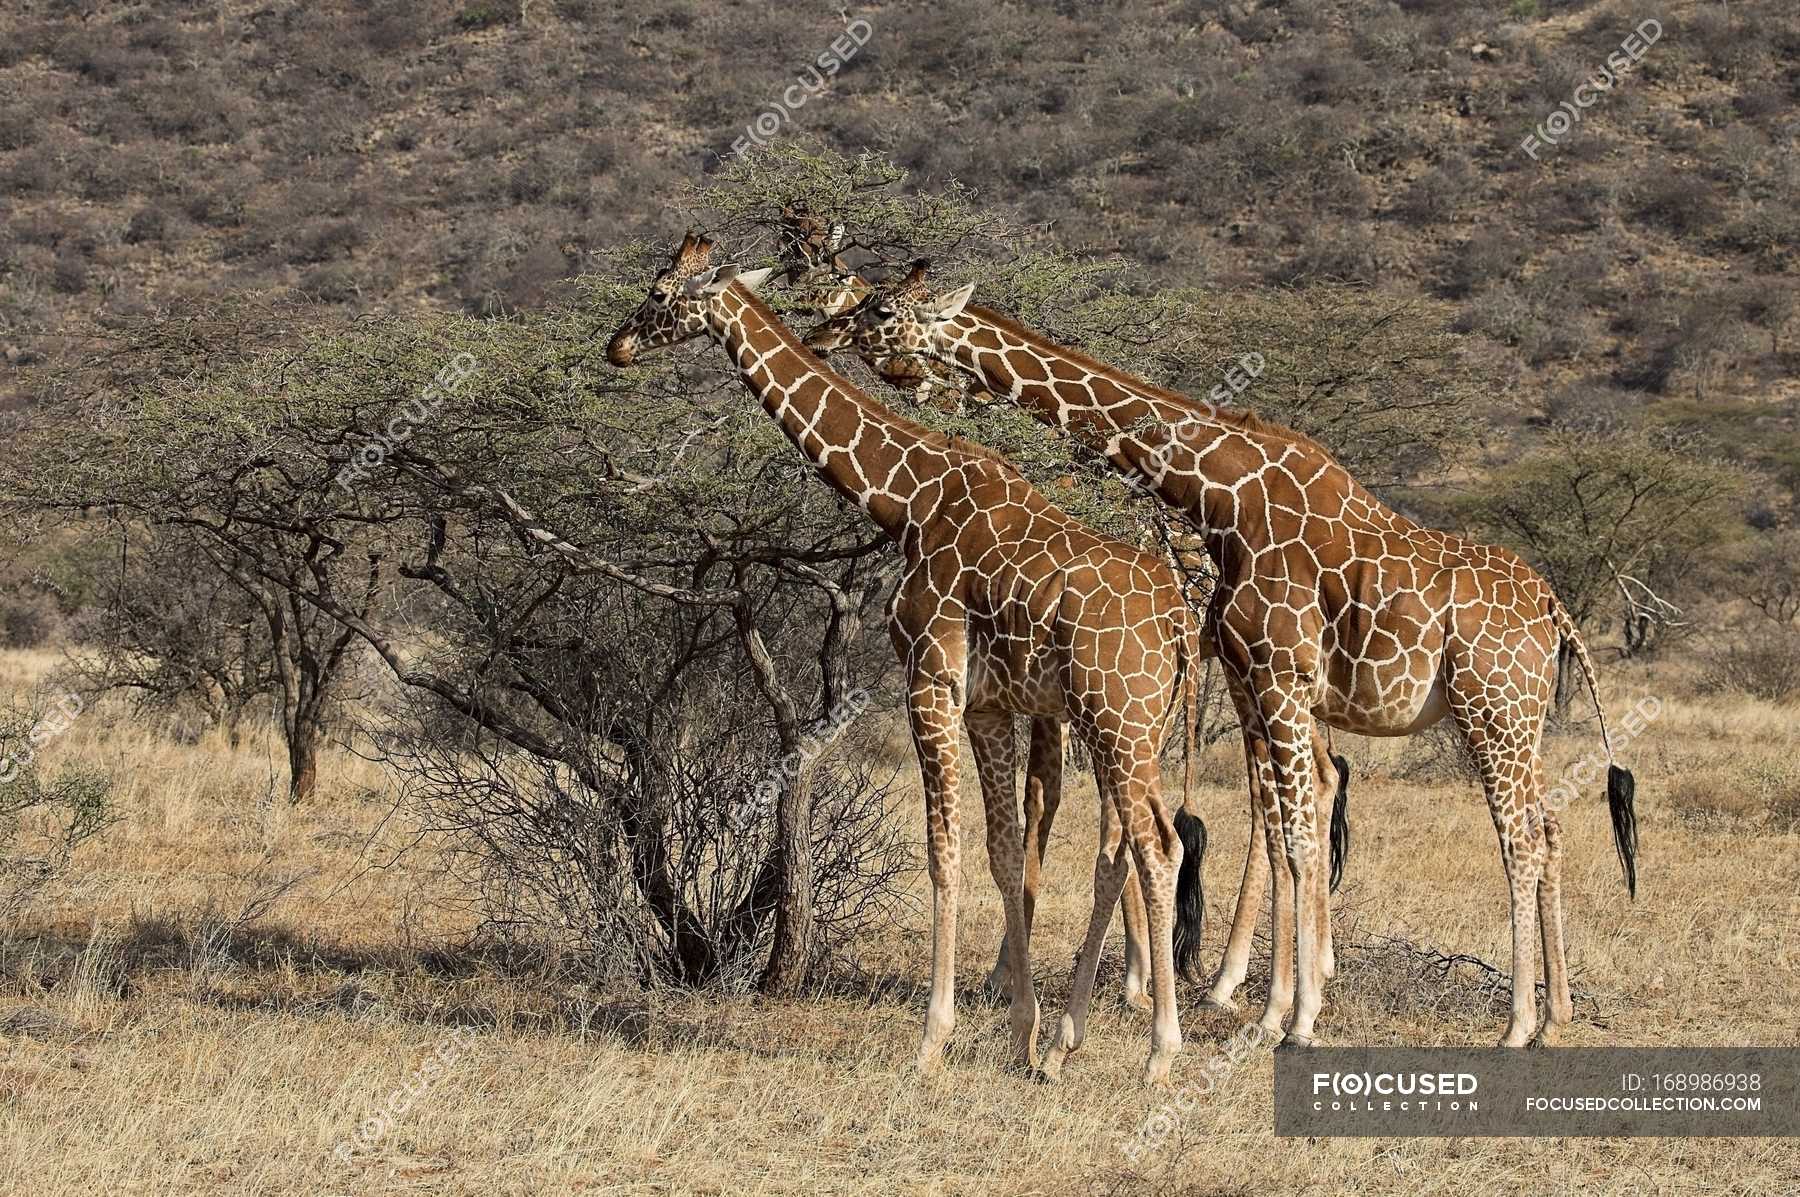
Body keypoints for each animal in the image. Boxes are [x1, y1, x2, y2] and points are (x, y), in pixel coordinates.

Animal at [604, 233, 1207, 1083]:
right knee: (1139, 844)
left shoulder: (930, 678)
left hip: (1115, 718)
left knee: (1155, 847)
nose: (617, 345)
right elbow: (1003, 851)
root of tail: (1183, 623)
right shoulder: (986, 701)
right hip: (1137, 726)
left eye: (659, 294)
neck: (910, 497)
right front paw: (1021, 1033)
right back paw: (1073, 1042)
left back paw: (1159, 1051)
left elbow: (942, 850)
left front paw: (932, 1038)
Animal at [803, 265, 1640, 1049]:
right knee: (1547, 826)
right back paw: (1557, 1013)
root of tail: (1556, 609)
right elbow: (1267, 827)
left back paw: (1515, 1023)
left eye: (878, 308)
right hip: (1519, 716)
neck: (1222, 492)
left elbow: (1285, 836)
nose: (822, 336)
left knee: (1517, 838)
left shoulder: (1272, 674)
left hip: (1488, 708)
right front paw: (1262, 1002)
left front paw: (1289, 1016)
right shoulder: (1247, 676)